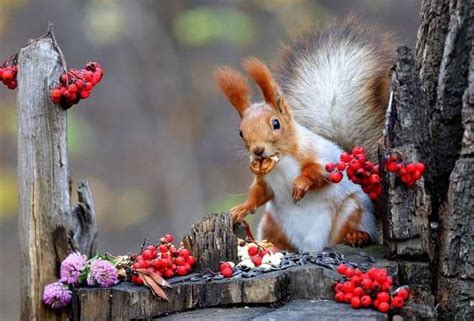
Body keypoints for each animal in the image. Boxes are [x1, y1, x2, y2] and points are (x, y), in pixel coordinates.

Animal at [217, 18, 394, 252]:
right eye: (240, 132)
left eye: (276, 123)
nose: (258, 150)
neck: (281, 160)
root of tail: (311, 246)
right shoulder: (264, 179)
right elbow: (259, 193)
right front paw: (242, 208)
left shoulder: (323, 158)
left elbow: (317, 172)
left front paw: (301, 184)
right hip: (272, 224)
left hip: (353, 211)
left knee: (354, 231)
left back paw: (357, 236)